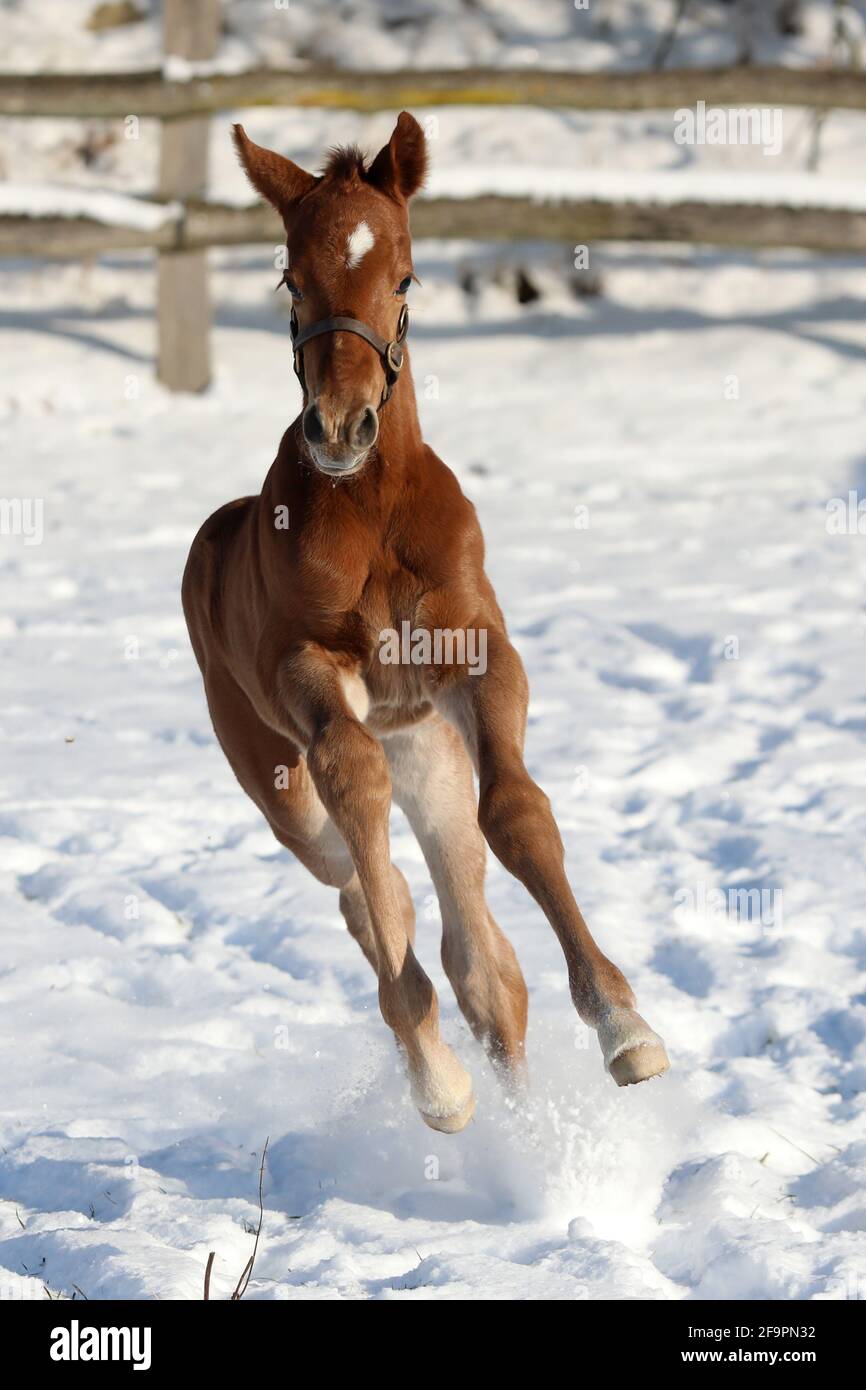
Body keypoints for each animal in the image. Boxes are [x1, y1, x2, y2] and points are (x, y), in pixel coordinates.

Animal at [182, 112, 670, 1133]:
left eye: (403, 275)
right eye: (291, 278)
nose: (340, 429)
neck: (371, 511)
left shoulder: (479, 658)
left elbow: (518, 813)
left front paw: (628, 1033)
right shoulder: (309, 676)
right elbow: (352, 778)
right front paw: (438, 1081)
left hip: (431, 758)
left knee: (479, 953)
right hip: (288, 796)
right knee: (369, 890)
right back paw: (436, 1068)